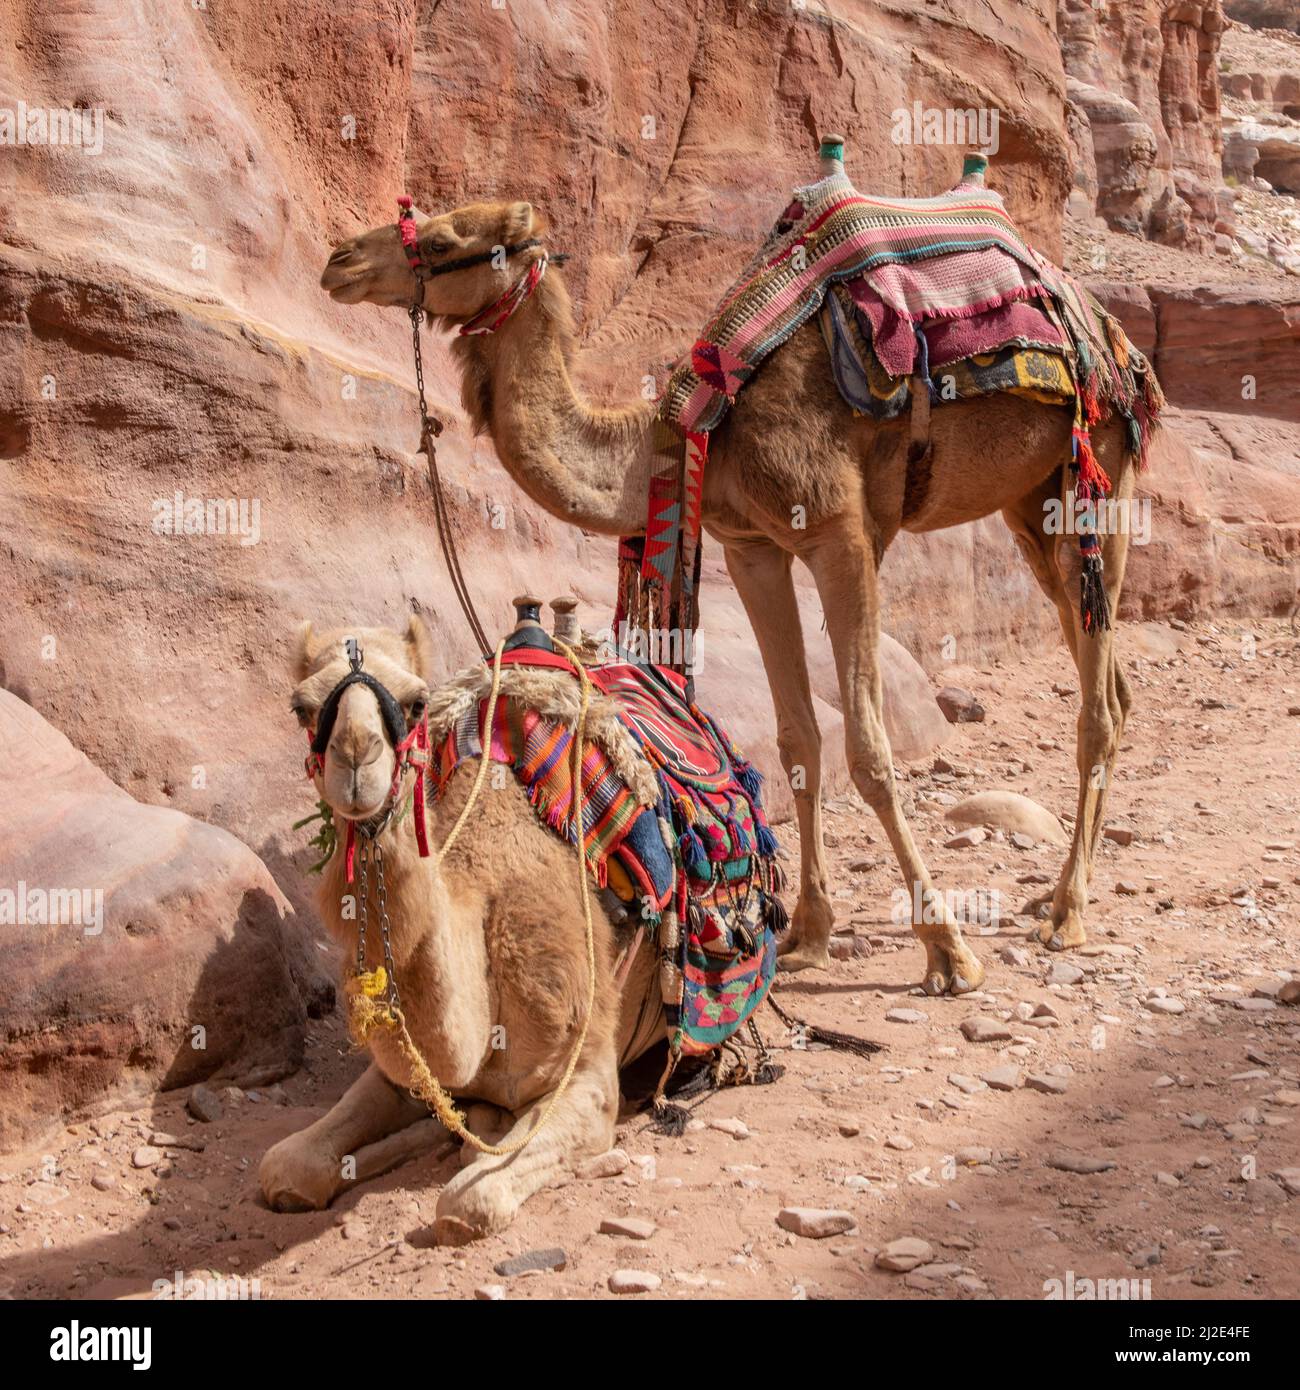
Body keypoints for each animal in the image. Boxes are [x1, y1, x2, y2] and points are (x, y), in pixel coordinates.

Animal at [260, 617, 665, 1242]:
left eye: (416, 702)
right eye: (301, 707)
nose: (356, 755)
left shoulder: (589, 1069)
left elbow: (468, 1201)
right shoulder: (399, 1074)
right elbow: (286, 1166)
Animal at [319, 196, 1142, 996]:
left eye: (447, 238)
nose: (340, 260)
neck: (700, 431)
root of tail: (1108, 332)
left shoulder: (839, 533)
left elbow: (869, 750)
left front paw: (947, 950)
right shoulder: (752, 548)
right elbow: (798, 739)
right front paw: (809, 933)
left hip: (1100, 470)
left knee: (1097, 706)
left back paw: (1067, 915)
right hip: (1031, 505)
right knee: (1111, 679)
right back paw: (1058, 894)